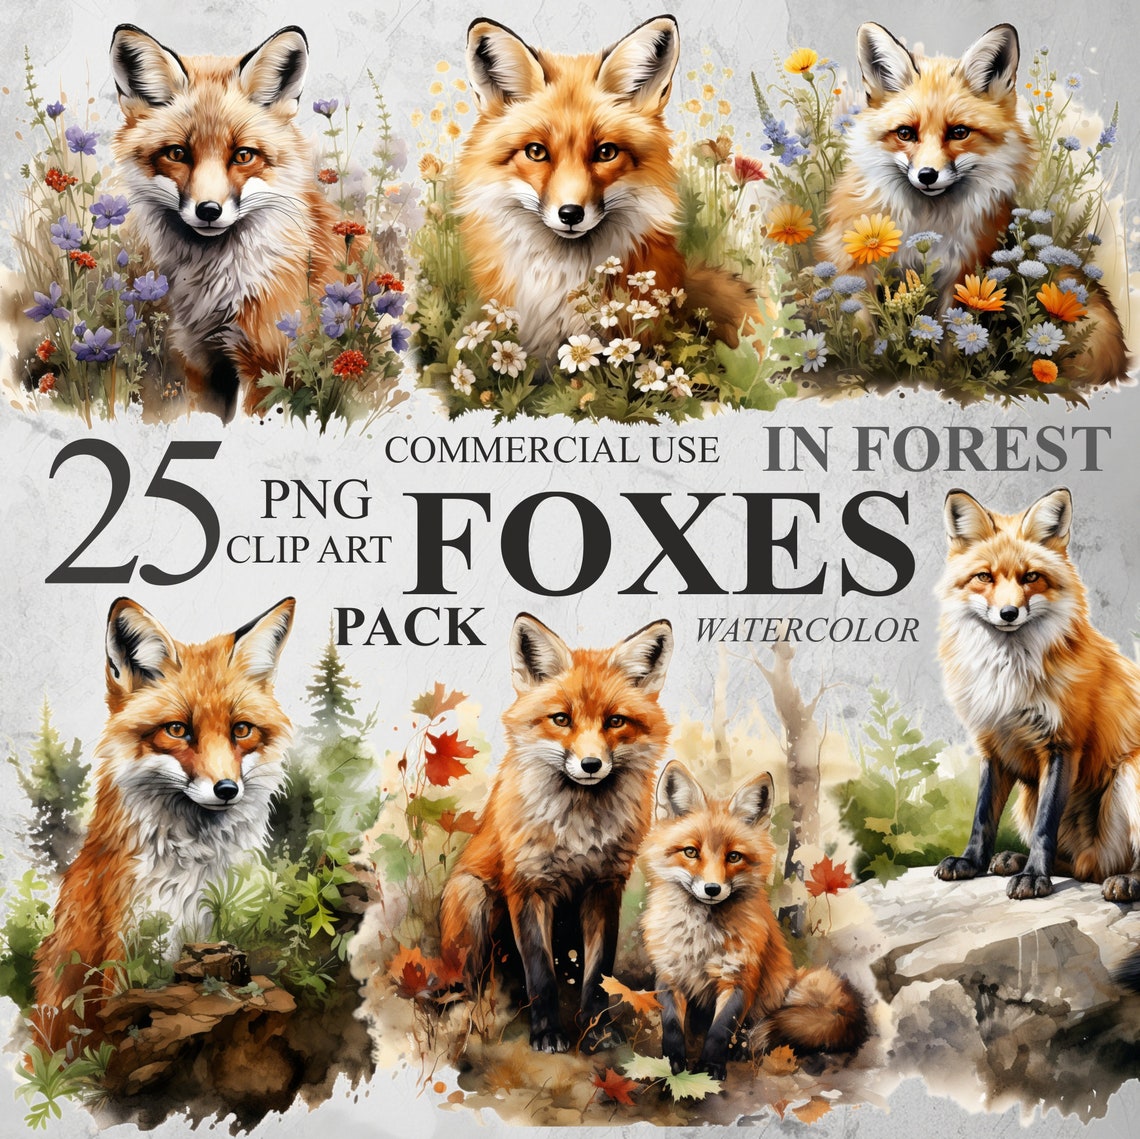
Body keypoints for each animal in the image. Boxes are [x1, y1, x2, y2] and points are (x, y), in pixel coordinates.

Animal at [439, 612, 673, 1053]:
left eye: (615, 721)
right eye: (561, 719)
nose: (591, 764)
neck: (580, 832)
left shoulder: (604, 886)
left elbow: (598, 973)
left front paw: (597, 1029)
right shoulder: (527, 886)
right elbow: (541, 974)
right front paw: (547, 1032)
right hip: (472, 896)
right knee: (470, 983)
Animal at [641, 762, 867, 1080]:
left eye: (734, 856)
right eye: (690, 852)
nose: (712, 889)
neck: (701, 941)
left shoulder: (740, 979)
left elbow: (720, 1030)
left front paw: (711, 1067)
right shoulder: (669, 975)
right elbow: (672, 1025)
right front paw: (672, 1065)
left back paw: (743, 1047)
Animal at [817, 22, 1128, 382]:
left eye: (959, 132)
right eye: (906, 134)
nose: (927, 175)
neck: (926, 225)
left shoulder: (965, 273)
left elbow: (956, 336)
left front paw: (947, 376)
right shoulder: (850, 265)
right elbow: (863, 326)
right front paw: (867, 365)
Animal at [936, 487, 1140, 904]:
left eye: (1031, 577)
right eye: (984, 577)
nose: (1008, 613)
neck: (1008, 681)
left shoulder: (1063, 744)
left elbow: (1047, 825)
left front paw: (1034, 878)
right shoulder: (992, 747)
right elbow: (982, 816)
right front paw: (972, 862)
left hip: (1132, 771)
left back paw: (1127, 881)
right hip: (1027, 805)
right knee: (1079, 867)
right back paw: (1012, 858)